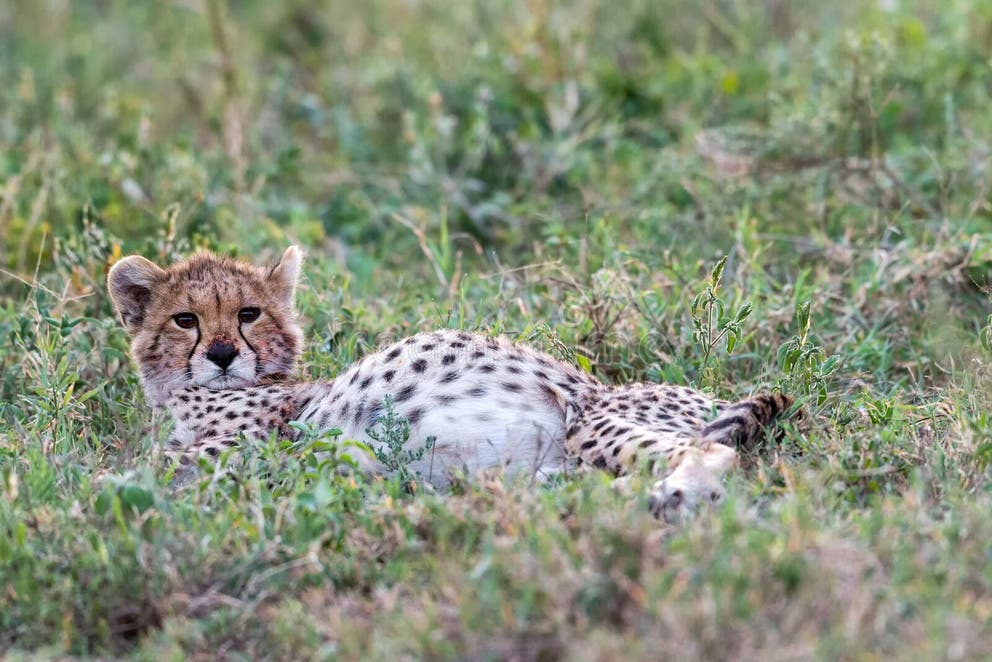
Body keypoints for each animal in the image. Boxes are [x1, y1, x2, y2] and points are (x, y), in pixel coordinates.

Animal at [108, 247, 795, 522]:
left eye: (248, 314)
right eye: (186, 320)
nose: (223, 354)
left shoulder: (247, 448)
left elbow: (133, 473)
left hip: (588, 419)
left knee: (714, 454)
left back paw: (663, 498)